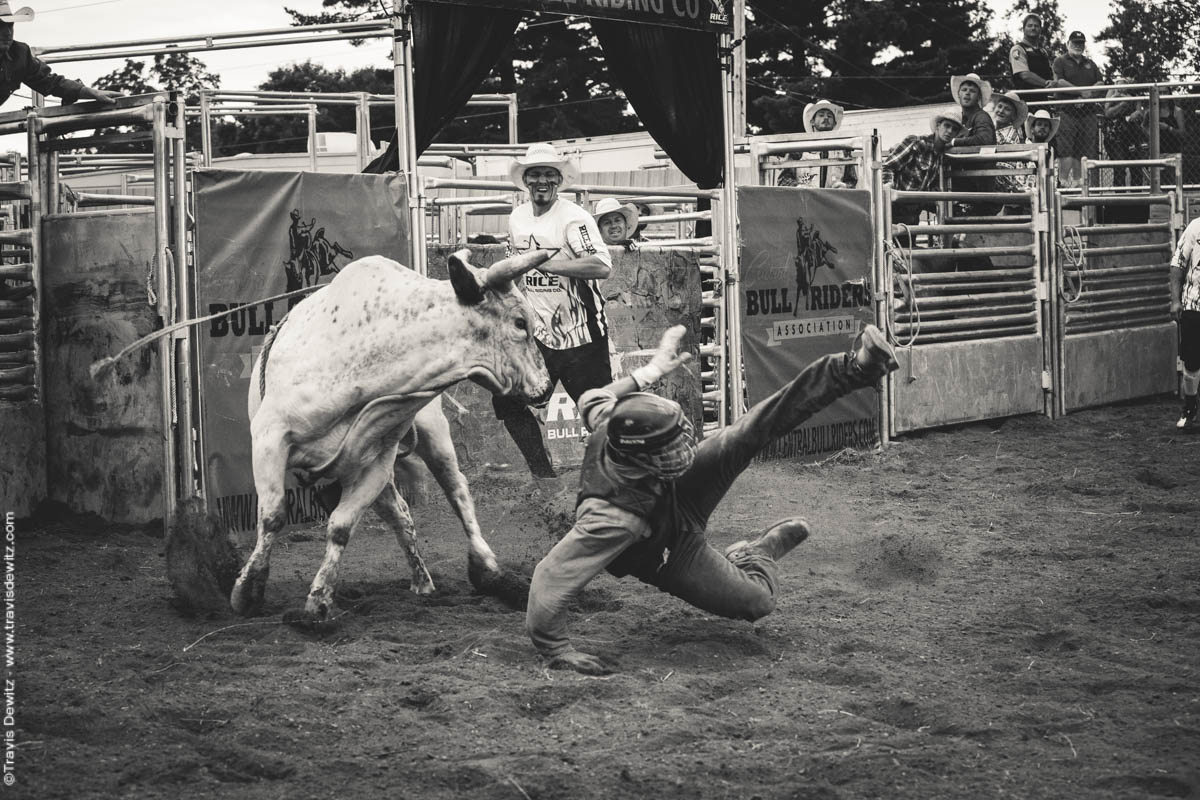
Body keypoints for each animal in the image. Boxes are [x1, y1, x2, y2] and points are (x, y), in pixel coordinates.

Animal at [229, 248, 554, 620]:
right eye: (520, 323)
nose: (546, 388)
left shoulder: (376, 463)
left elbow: (340, 527)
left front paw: (319, 599)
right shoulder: (271, 437)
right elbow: (273, 516)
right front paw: (248, 590)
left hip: (433, 435)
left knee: (456, 491)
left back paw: (485, 569)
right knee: (400, 513)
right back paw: (422, 579)